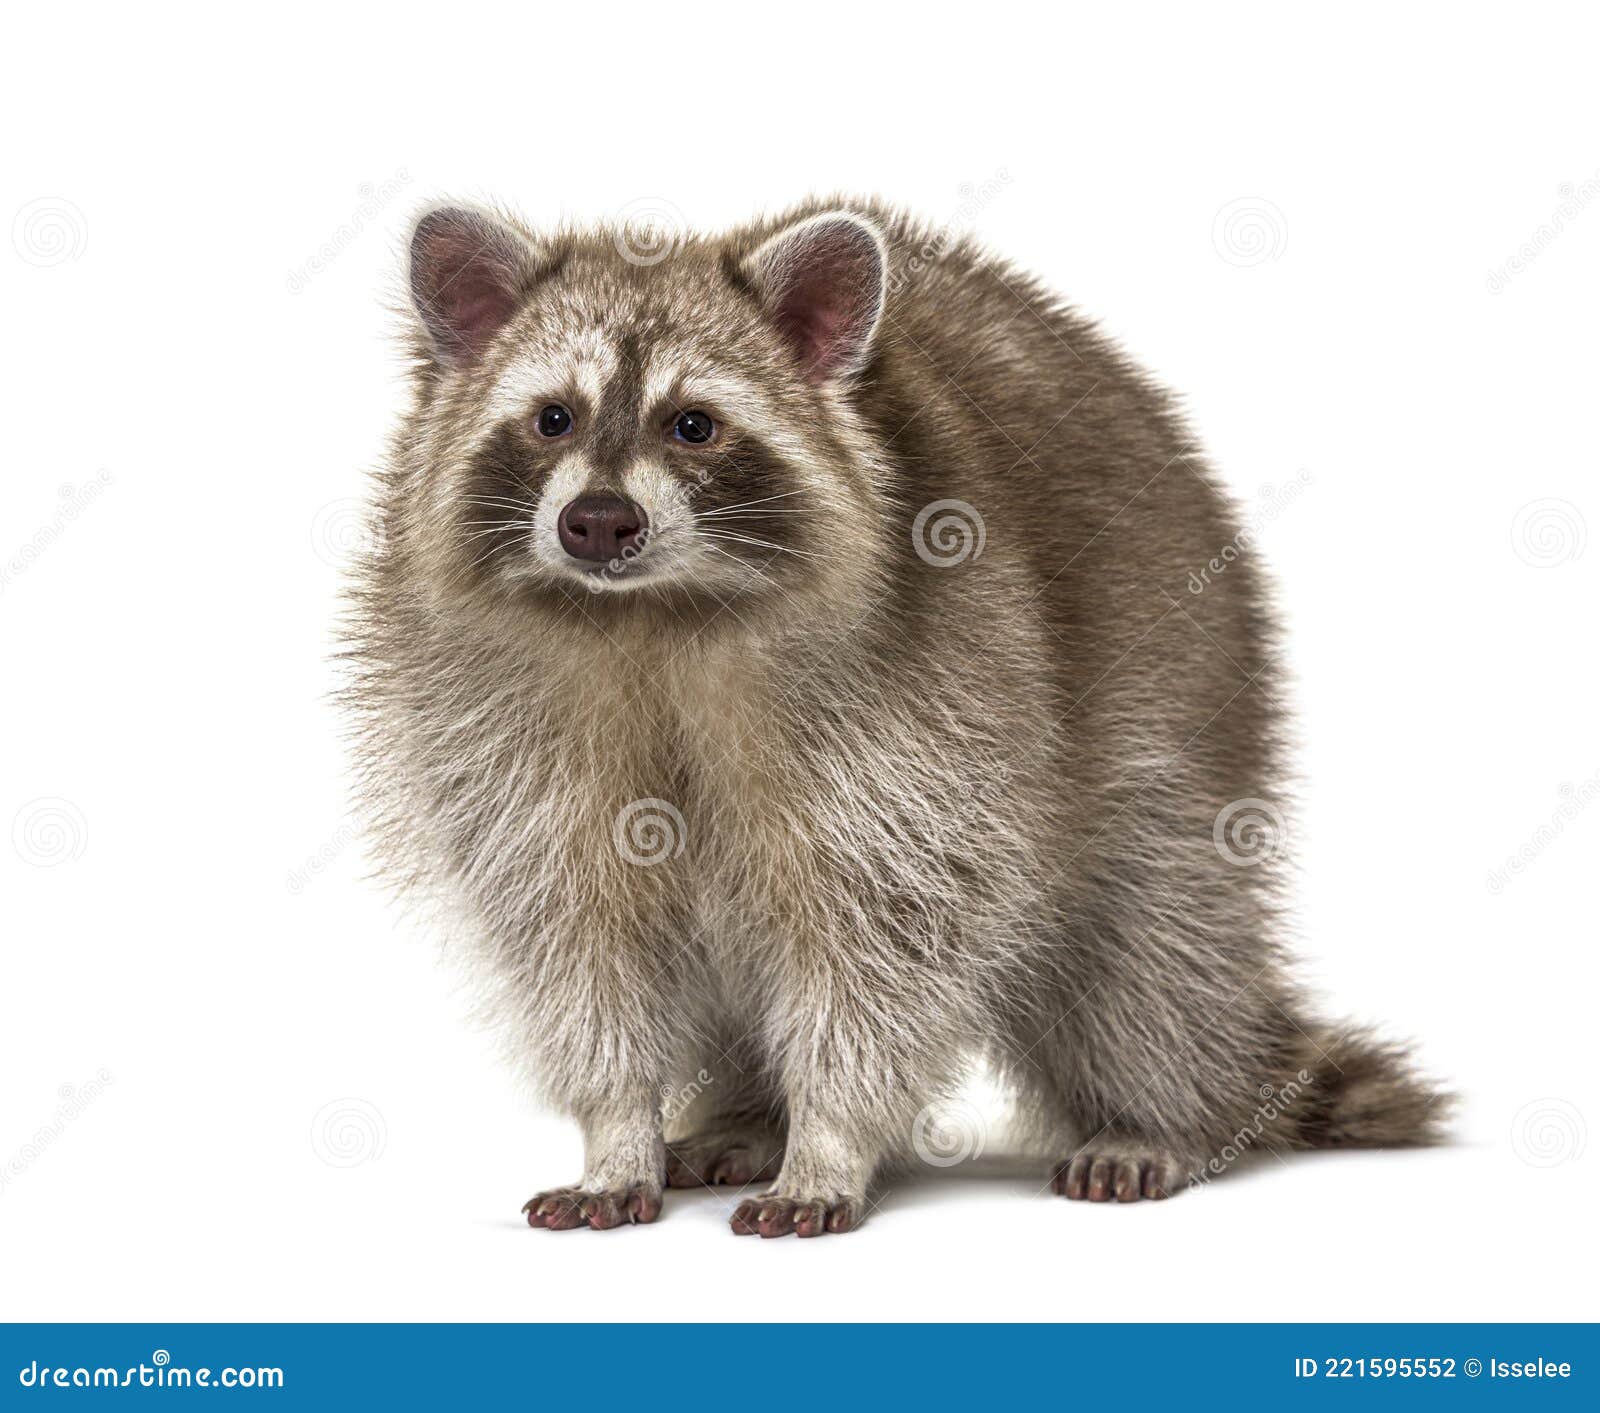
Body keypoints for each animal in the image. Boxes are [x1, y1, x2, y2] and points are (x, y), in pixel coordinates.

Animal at [345, 197, 1447, 1237]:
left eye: (693, 424)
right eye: (552, 420)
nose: (598, 523)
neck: (653, 612)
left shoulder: (936, 701)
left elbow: (884, 944)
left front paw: (827, 1141)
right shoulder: (496, 725)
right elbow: (579, 941)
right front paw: (619, 1131)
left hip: (1185, 702)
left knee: (1154, 948)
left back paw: (1161, 1115)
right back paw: (750, 1112)